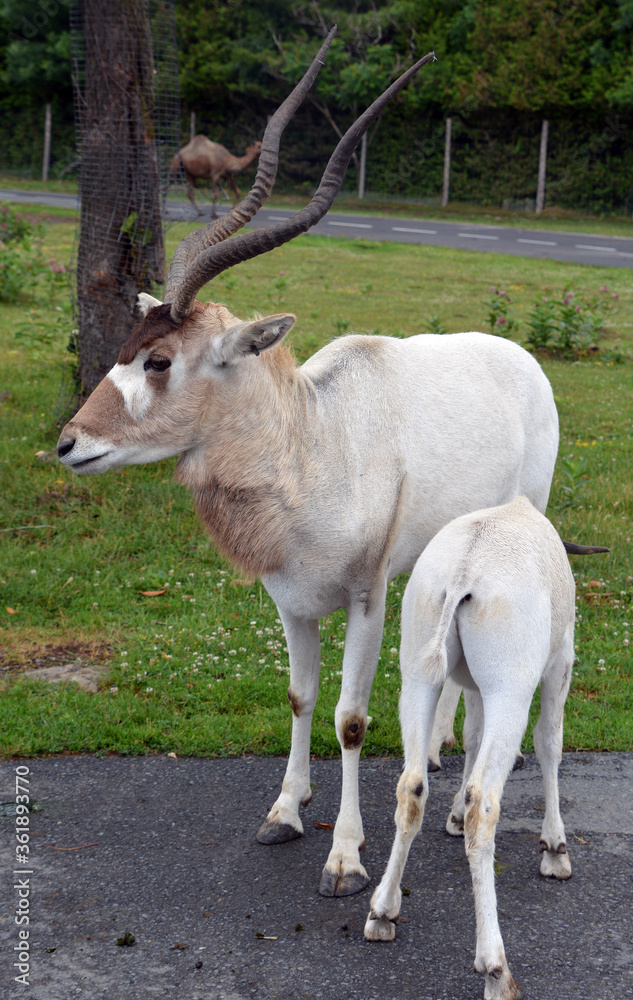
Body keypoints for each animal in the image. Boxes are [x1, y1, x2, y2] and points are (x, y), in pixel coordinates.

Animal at [57, 32, 562, 898]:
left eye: (158, 360)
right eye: (127, 347)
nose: (69, 444)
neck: (311, 442)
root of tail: (519, 356)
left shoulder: (363, 599)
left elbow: (349, 719)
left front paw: (345, 858)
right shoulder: (289, 599)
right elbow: (298, 697)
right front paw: (285, 812)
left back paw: (453, 780)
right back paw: (437, 753)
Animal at [364, 497, 577, 1000]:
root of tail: (463, 573)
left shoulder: (473, 687)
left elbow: (472, 736)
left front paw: (454, 816)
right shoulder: (561, 657)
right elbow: (549, 742)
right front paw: (555, 850)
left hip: (418, 667)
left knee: (412, 785)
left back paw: (382, 910)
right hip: (510, 684)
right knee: (487, 800)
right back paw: (495, 968)